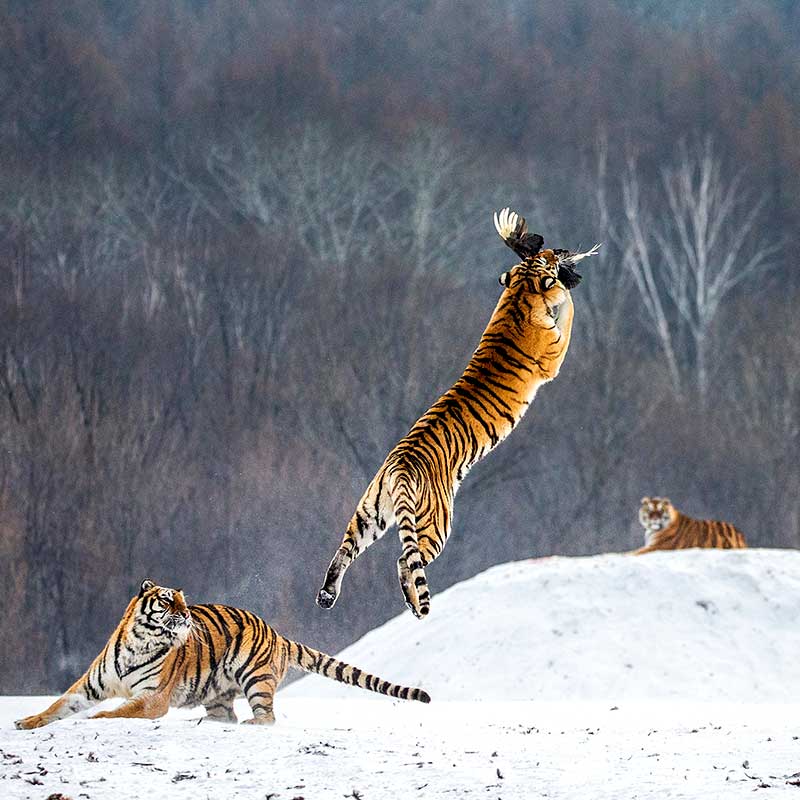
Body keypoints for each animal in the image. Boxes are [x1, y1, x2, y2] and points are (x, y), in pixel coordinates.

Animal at [14, 579, 430, 729]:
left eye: (184, 601)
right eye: (168, 600)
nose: (185, 615)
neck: (140, 640)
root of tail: (277, 633)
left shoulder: (152, 697)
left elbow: (122, 710)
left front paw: (99, 718)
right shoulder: (89, 686)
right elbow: (57, 706)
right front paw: (25, 722)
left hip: (255, 679)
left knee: (267, 717)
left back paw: (251, 723)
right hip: (215, 692)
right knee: (223, 713)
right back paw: (207, 721)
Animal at [317, 208, 600, 619]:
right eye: (548, 256)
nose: (557, 252)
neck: (519, 294)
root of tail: (398, 468)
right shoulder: (554, 357)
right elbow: (569, 314)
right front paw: (565, 291)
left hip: (369, 515)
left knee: (344, 550)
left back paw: (327, 595)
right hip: (435, 525)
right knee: (405, 560)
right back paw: (416, 604)